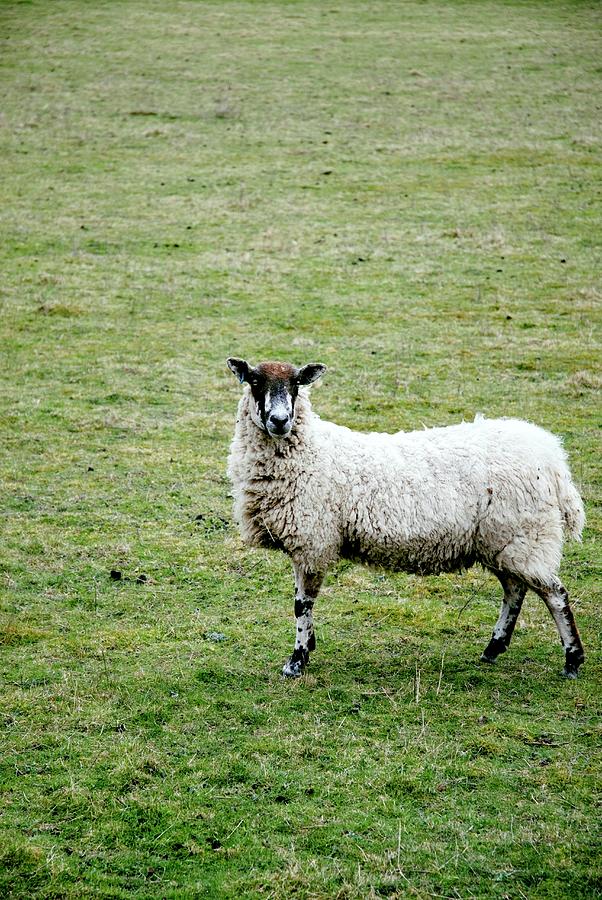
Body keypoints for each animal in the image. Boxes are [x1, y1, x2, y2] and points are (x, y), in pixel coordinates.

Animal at [226, 358, 586, 680]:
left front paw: (297, 661)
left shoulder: (314, 541)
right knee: (515, 591)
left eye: (296, 384)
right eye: (255, 381)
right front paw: (310, 645)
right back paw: (493, 648)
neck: (310, 451)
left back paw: (573, 659)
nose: (280, 420)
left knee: (555, 594)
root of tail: (552, 456)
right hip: (503, 540)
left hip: (523, 534)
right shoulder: (306, 545)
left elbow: (302, 604)